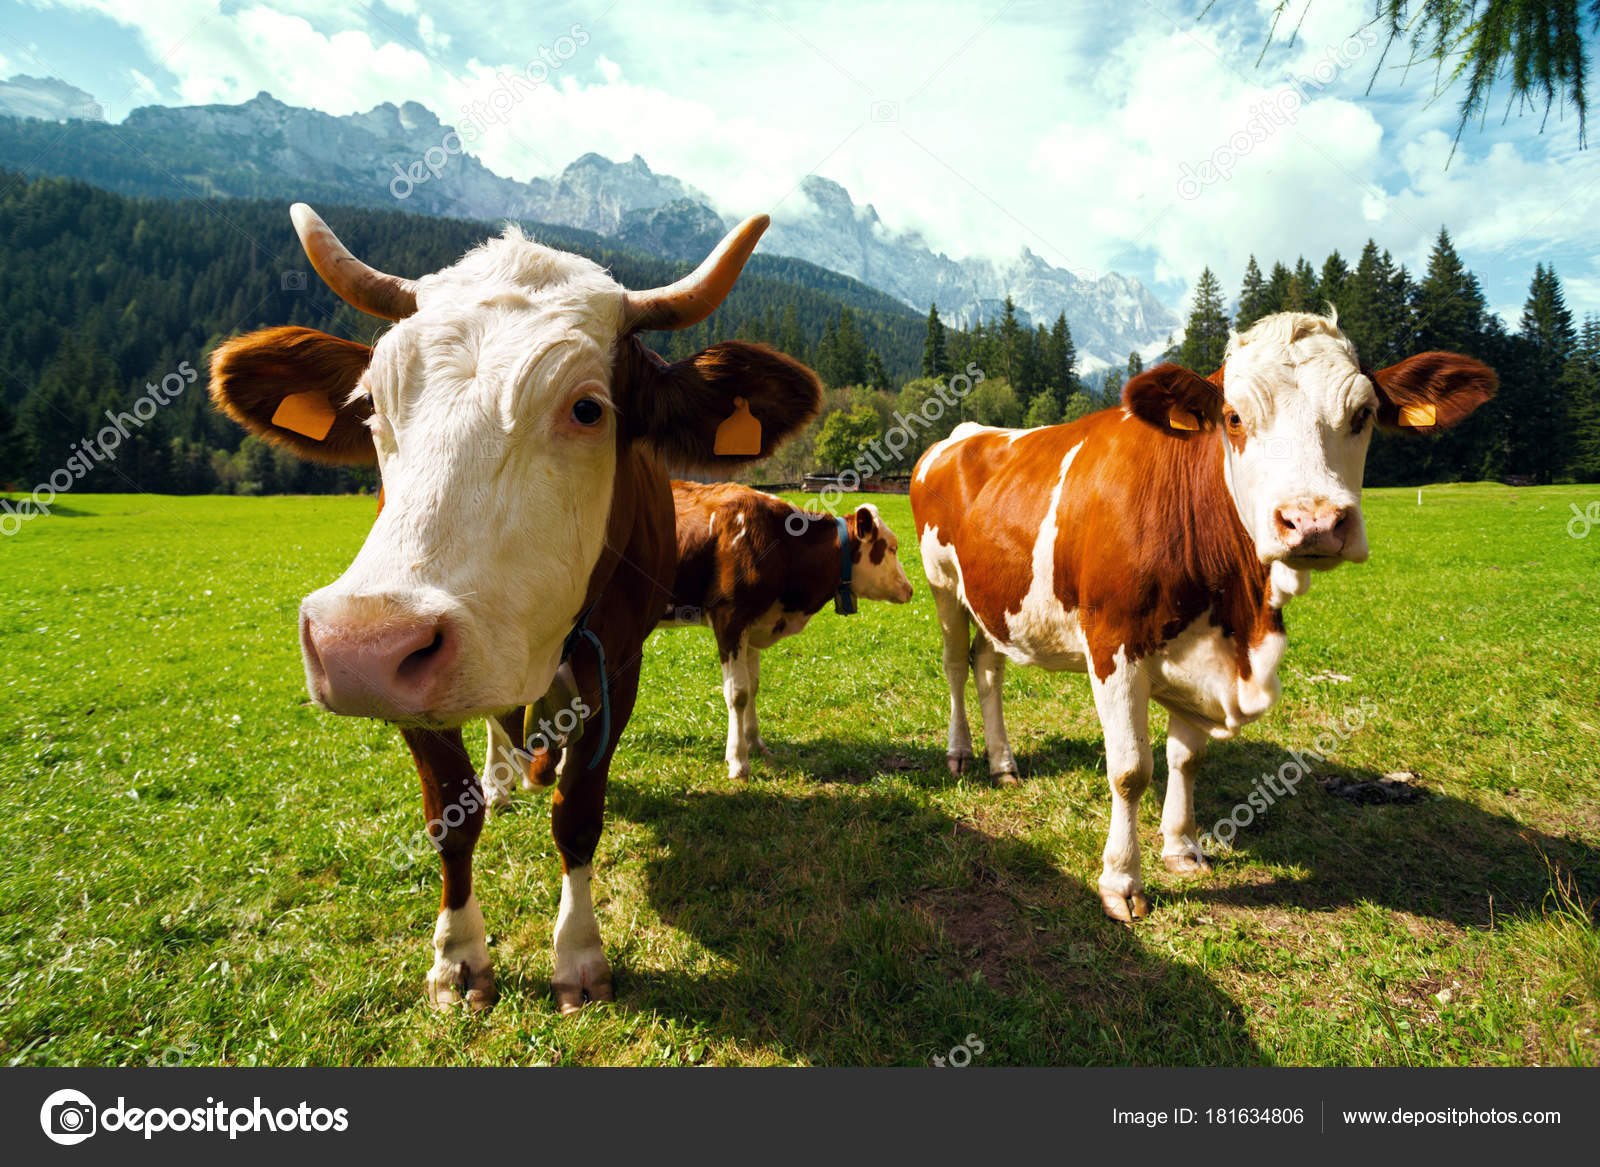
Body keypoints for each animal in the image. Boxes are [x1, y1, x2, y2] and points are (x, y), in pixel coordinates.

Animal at [208, 204, 821, 1012]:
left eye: (588, 409)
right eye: (371, 404)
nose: (357, 646)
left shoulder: (616, 668)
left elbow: (578, 813)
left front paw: (579, 956)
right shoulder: (416, 692)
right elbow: (450, 815)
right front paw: (457, 957)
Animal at [652, 482, 914, 780]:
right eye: (891, 548)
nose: (909, 589)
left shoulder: (751, 625)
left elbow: (752, 686)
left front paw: (755, 743)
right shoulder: (729, 619)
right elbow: (737, 693)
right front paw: (738, 760)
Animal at [910, 311, 1495, 923]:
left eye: (1362, 415)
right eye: (1234, 417)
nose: (1313, 522)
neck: (1239, 613)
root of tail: (965, 433)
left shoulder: (1203, 651)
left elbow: (1185, 758)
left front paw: (1182, 848)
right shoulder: (1113, 645)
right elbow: (1130, 769)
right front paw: (1121, 881)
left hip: (994, 599)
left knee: (988, 668)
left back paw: (1003, 763)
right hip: (942, 583)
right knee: (956, 665)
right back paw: (960, 753)